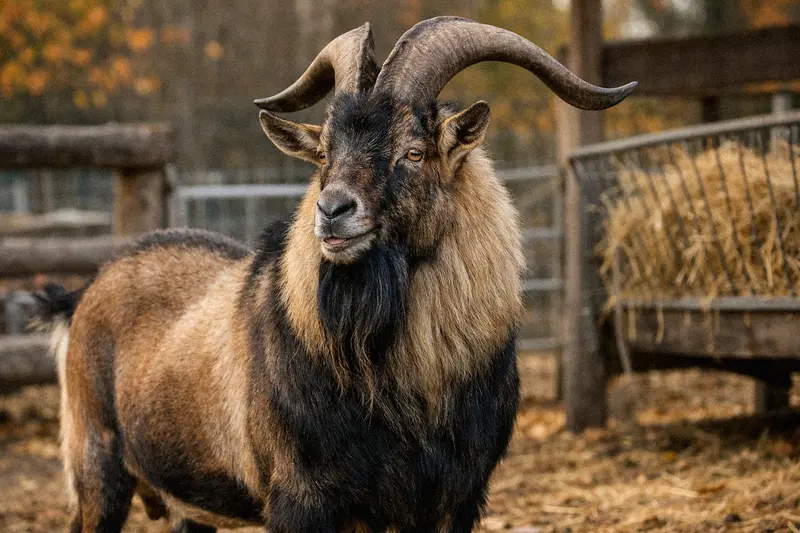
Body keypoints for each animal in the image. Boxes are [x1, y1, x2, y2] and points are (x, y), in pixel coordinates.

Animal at [35, 16, 634, 533]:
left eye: (413, 151)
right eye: (324, 152)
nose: (332, 211)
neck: (403, 395)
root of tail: (84, 294)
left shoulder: (453, 499)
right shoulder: (304, 498)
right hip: (97, 467)